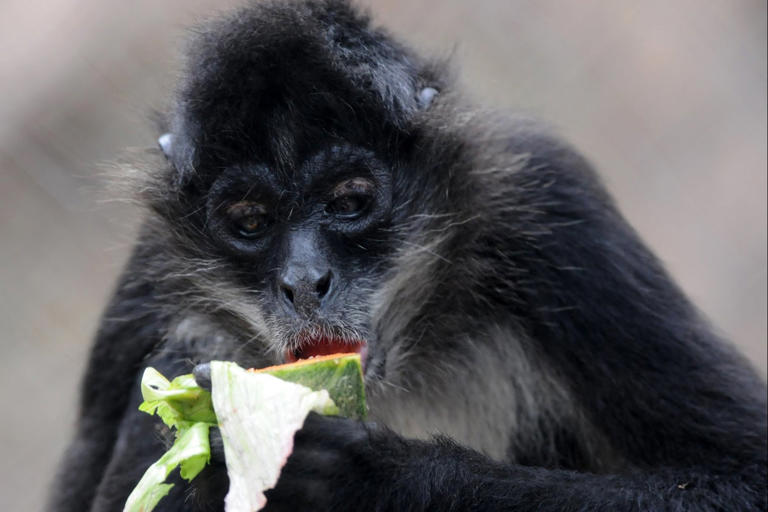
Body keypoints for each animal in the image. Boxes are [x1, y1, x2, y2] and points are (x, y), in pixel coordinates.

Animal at [48, 0, 767, 510]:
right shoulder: (149, 274)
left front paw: (375, 477)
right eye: (249, 221)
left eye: (350, 200)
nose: (304, 280)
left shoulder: (553, 204)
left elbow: (746, 477)